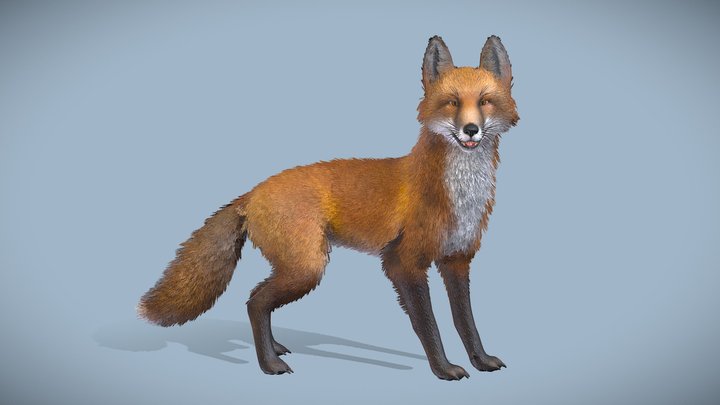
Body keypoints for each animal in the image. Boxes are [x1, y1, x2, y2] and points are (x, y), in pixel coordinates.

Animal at [138, 35, 519, 380]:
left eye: (485, 101)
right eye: (452, 102)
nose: (471, 130)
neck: (458, 195)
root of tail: (252, 193)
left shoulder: (457, 260)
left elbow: (466, 321)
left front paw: (481, 360)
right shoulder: (403, 262)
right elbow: (429, 325)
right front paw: (443, 369)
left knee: (257, 300)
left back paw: (274, 348)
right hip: (307, 268)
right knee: (254, 301)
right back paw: (269, 364)